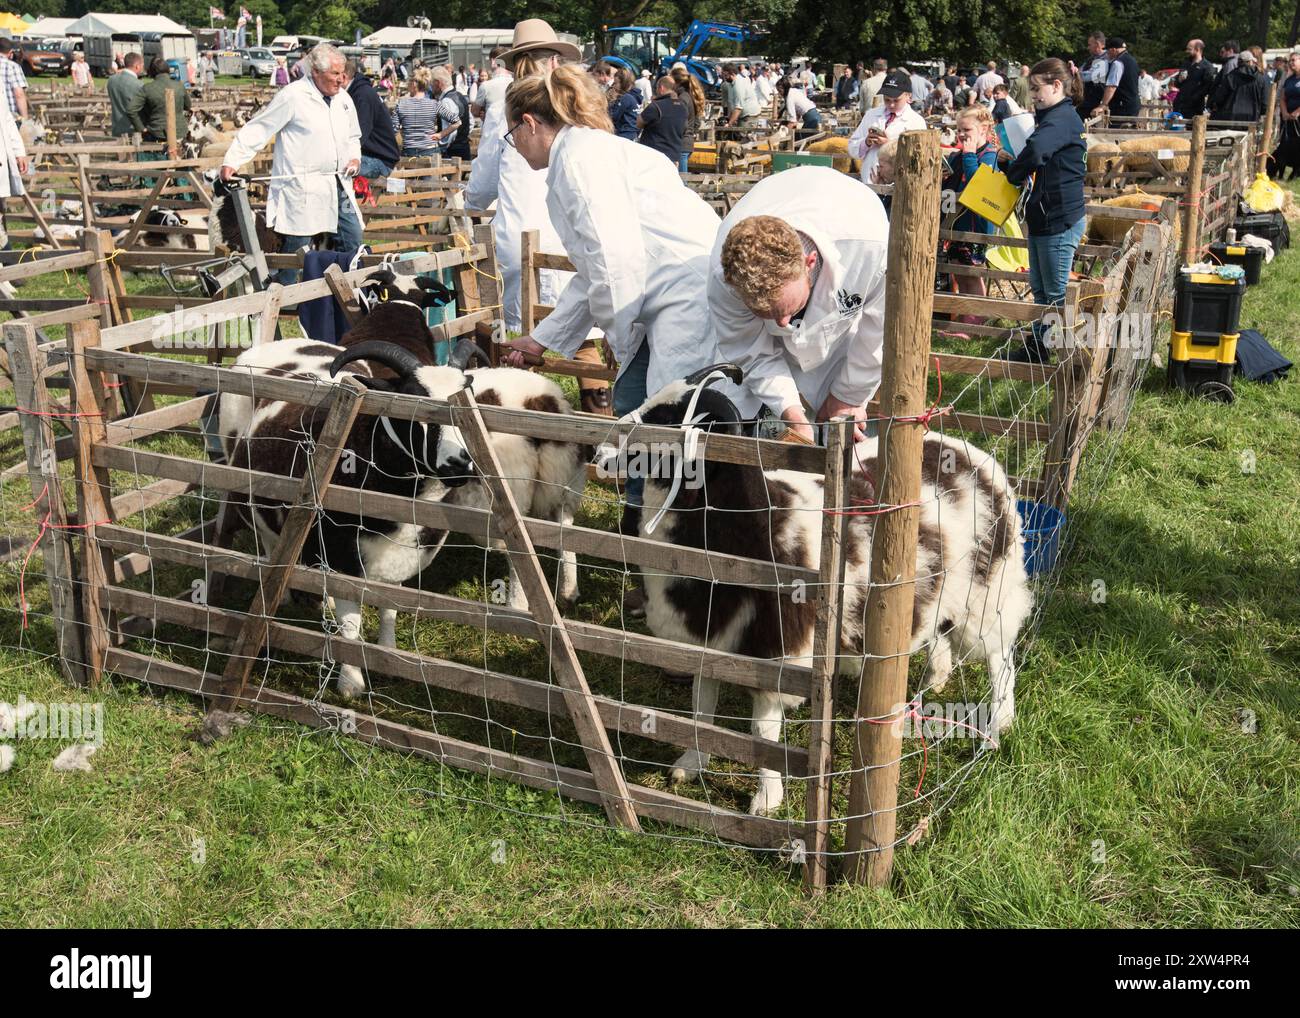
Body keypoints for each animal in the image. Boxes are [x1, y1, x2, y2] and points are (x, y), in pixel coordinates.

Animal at [611, 365, 1034, 815]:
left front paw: (766, 799)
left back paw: (1001, 721)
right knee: (934, 632)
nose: (603, 447)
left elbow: (761, 732)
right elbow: (700, 707)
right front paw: (691, 763)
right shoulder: (709, 641)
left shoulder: (778, 651)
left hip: (987, 590)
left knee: (999, 655)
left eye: (666, 420)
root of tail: (971, 452)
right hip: (933, 588)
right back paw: (933, 683)